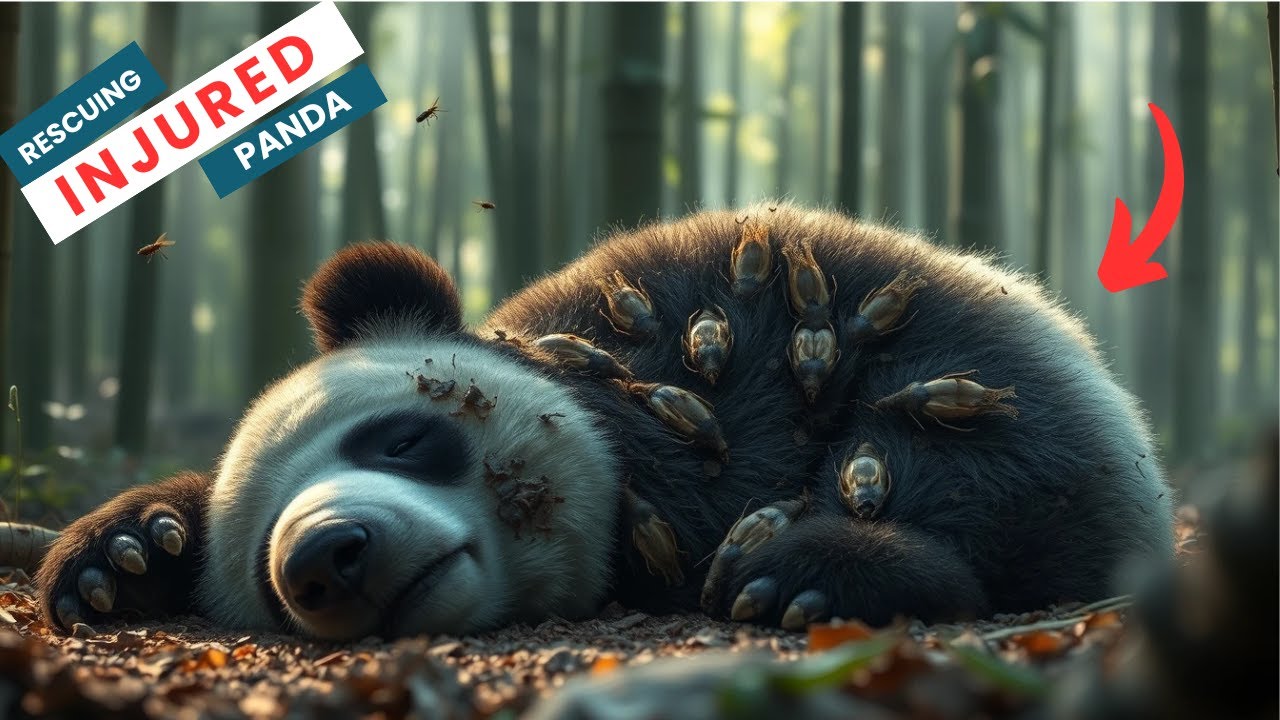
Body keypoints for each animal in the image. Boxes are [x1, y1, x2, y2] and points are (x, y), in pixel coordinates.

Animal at [36, 204, 1173, 640]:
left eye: (399, 439)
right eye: (270, 584)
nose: (326, 555)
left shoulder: (706, 298)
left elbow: (1019, 450)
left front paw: (807, 568)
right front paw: (126, 555)